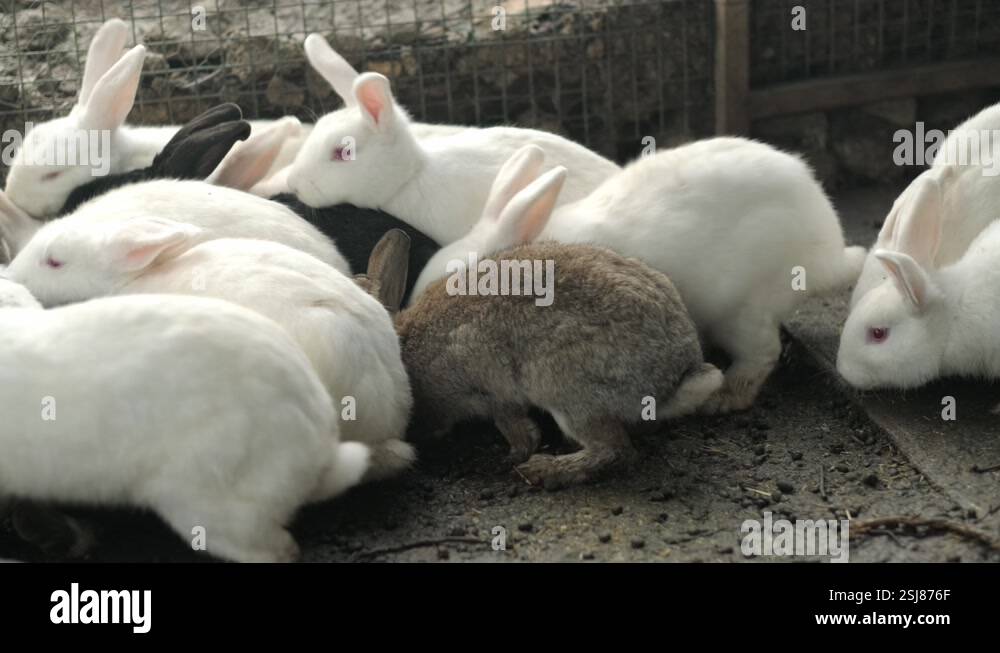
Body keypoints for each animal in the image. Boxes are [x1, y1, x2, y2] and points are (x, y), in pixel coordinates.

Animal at [358, 229, 722, 488]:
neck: (402, 343)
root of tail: (677, 374)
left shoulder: (487, 392)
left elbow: (519, 431)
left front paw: (514, 456)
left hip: (566, 388)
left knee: (616, 450)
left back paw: (544, 471)